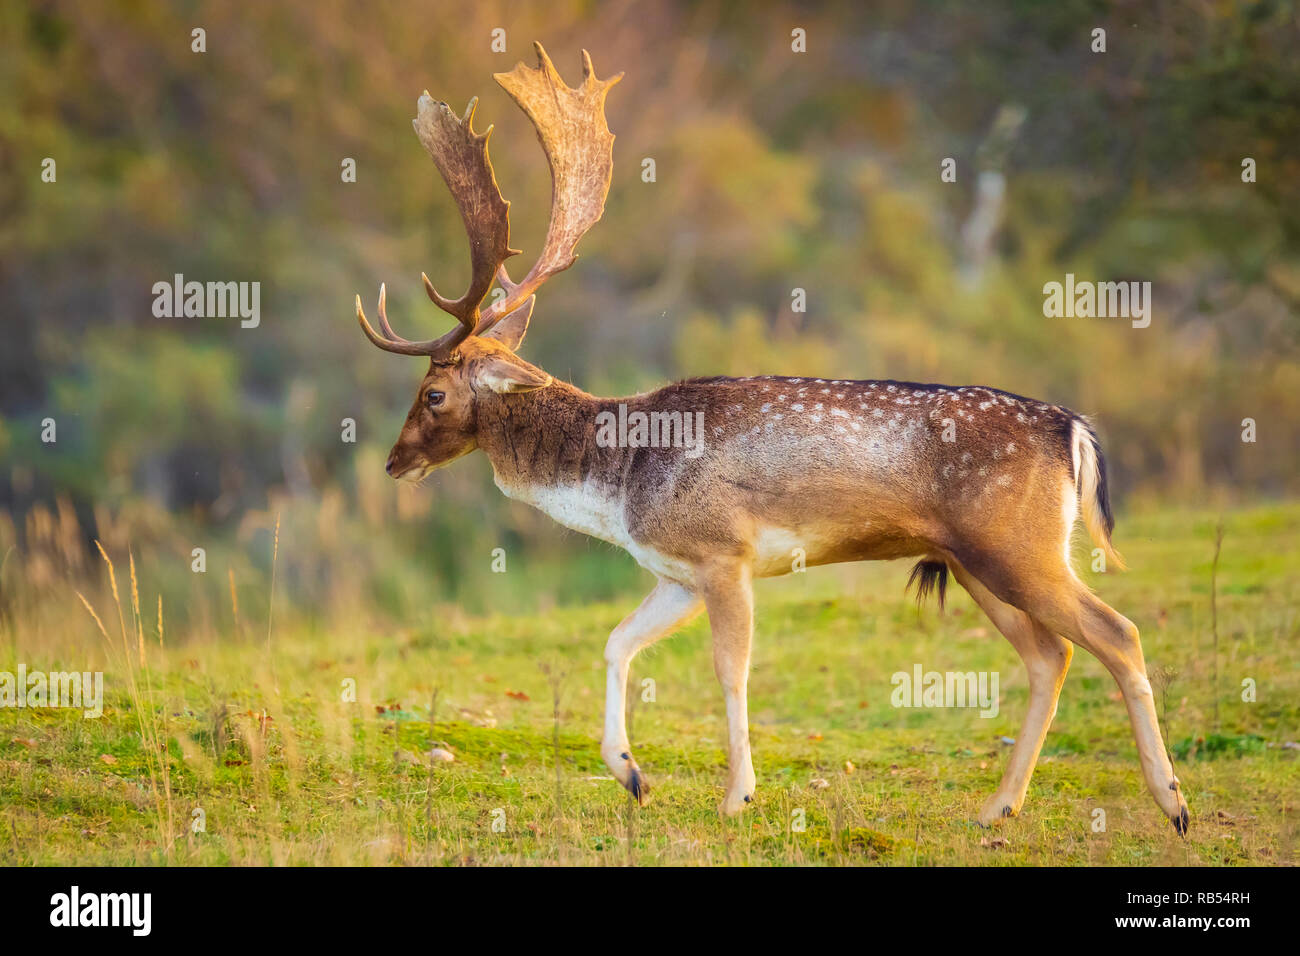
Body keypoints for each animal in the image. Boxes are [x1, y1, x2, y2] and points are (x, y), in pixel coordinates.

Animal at [354, 43, 1190, 835]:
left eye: (432, 394)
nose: (394, 463)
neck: (616, 482)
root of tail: (1073, 429)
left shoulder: (725, 553)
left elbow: (732, 670)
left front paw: (737, 797)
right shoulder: (675, 571)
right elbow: (618, 642)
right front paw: (631, 774)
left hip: (1018, 546)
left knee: (1116, 633)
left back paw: (1173, 803)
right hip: (975, 559)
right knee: (1051, 653)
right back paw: (998, 808)